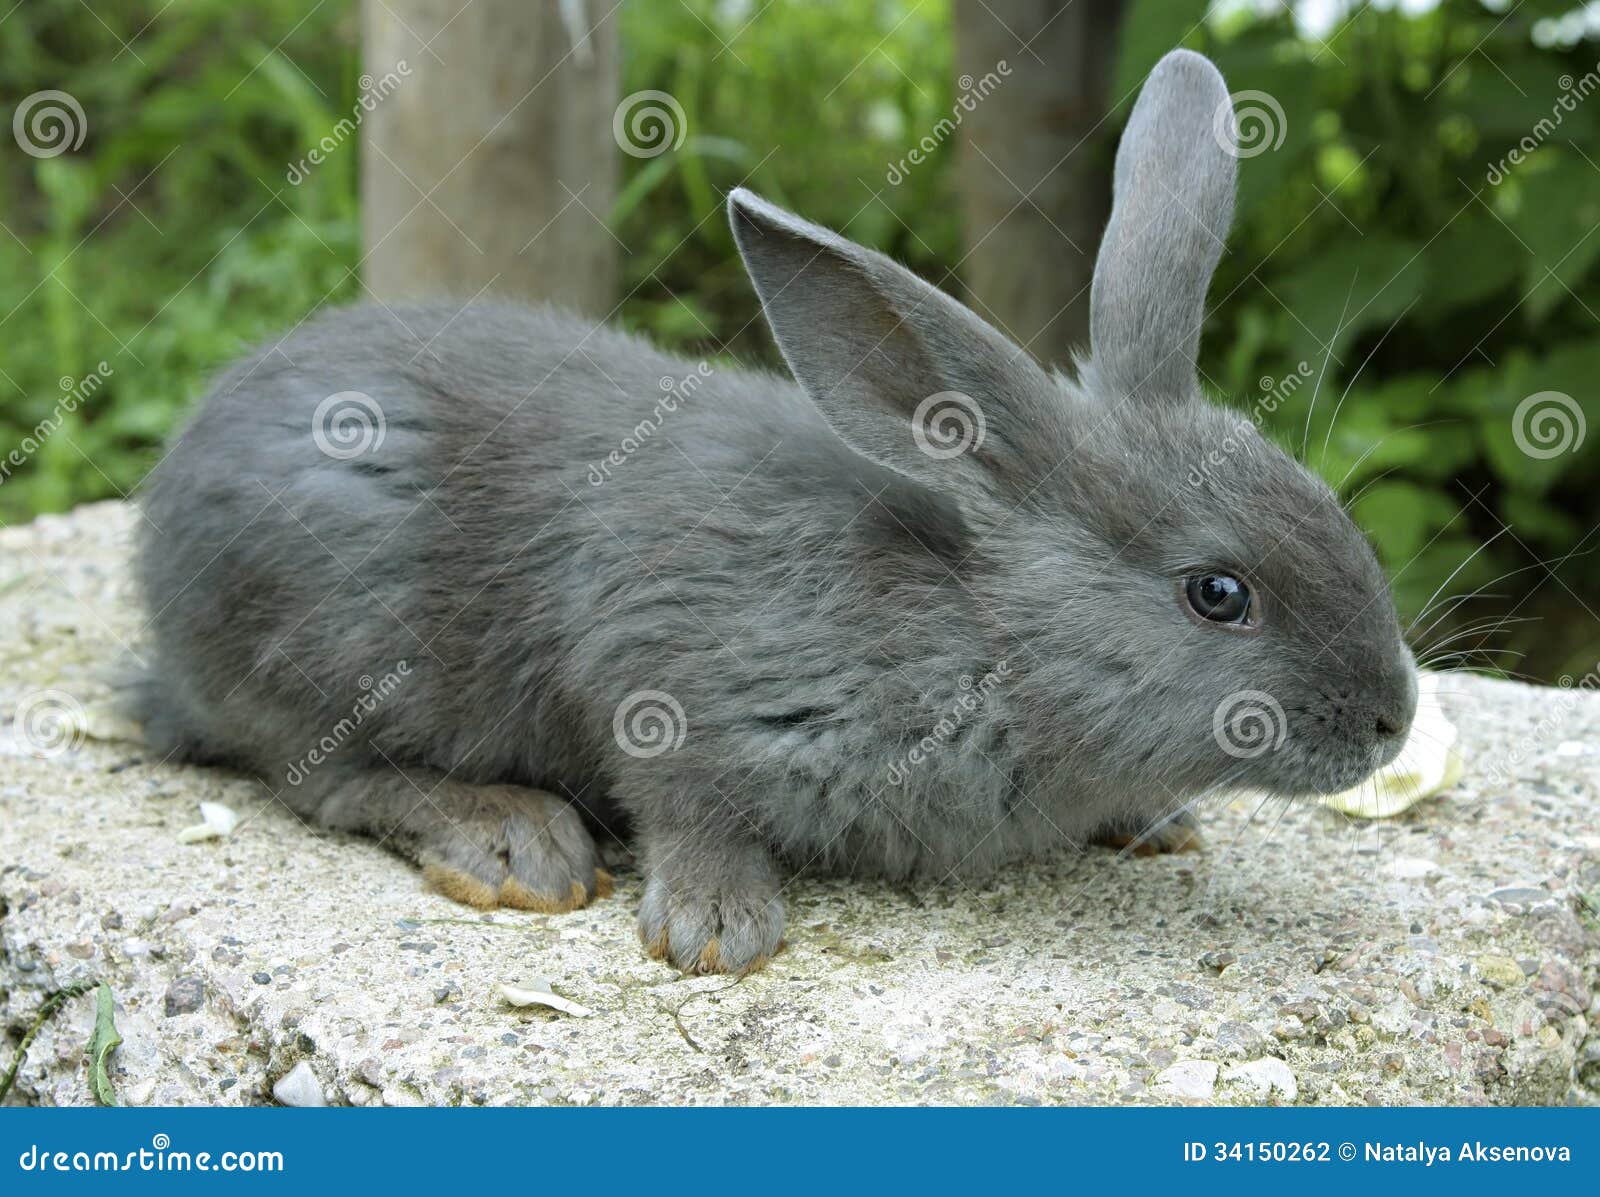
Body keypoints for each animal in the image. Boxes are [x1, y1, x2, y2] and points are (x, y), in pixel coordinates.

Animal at [132, 49, 1417, 975]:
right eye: (1218, 593)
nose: (1394, 720)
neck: (982, 632)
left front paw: (1156, 822)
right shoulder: (666, 680)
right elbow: (685, 799)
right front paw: (715, 930)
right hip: (340, 641)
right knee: (321, 776)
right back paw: (515, 845)